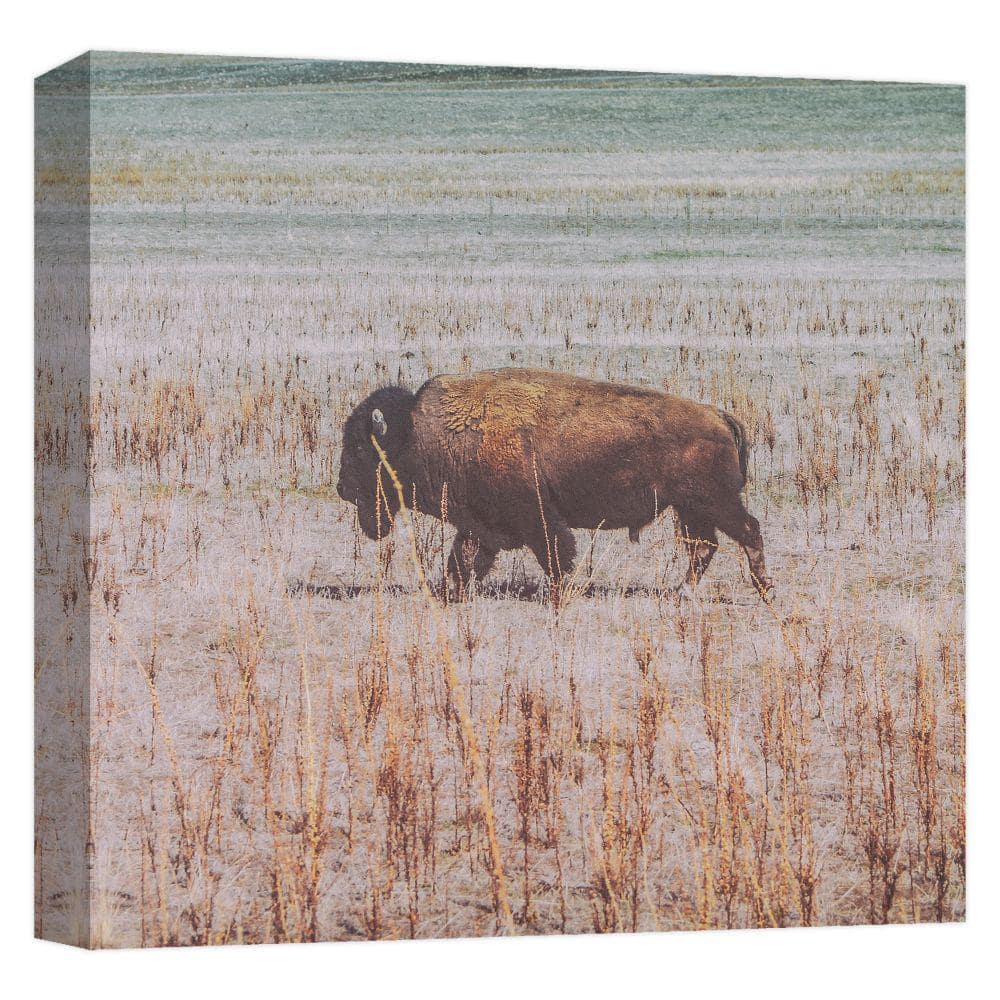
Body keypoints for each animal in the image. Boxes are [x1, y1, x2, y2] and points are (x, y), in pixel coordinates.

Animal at [336, 368, 772, 599]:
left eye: (360, 447)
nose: (342, 487)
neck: (415, 432)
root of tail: (718, 415)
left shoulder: (538, 518)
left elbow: (556, 555)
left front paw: (560, 593)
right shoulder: (478, 523)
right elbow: (463, 558)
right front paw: (451, 592)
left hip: (715, 502)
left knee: (747, 531)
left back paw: (762, 588)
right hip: (691, 508)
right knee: (704, 546)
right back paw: (683, 591)